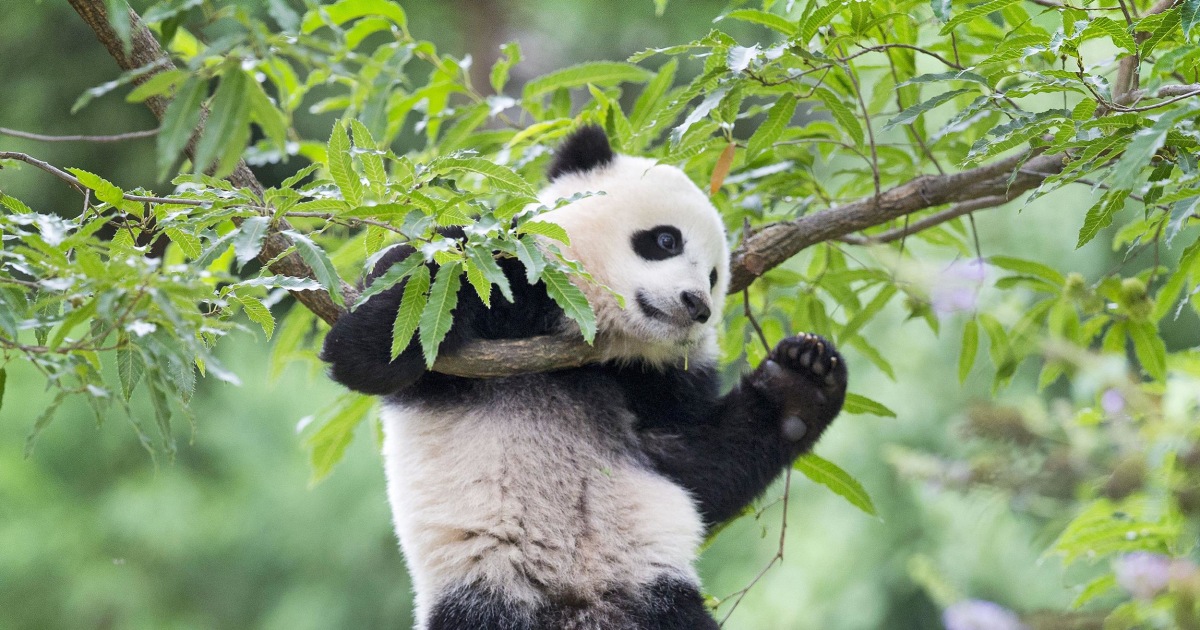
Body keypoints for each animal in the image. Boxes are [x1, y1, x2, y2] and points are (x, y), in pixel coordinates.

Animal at [320, 126, 848, 630]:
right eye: (667, 240)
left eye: (717, 277)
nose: (697, 305)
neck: (595, 343)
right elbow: (415, 308)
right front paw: (380, 332)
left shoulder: (654, 385)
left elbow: (700, 465)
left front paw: (803, 379)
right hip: (485, 597)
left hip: (654, 594)